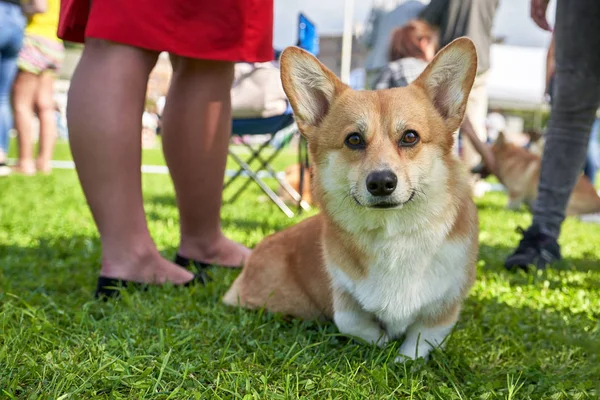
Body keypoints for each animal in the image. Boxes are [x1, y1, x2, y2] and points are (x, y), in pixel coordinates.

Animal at [223, 39, 480, 360]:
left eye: (410, 137)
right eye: (354, 139)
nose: (381, 182)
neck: (391, 235)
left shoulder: (444, 307)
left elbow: (420, 341)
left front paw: (401, 358)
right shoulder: (343, 297)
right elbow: (353, 323)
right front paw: (382, 343)